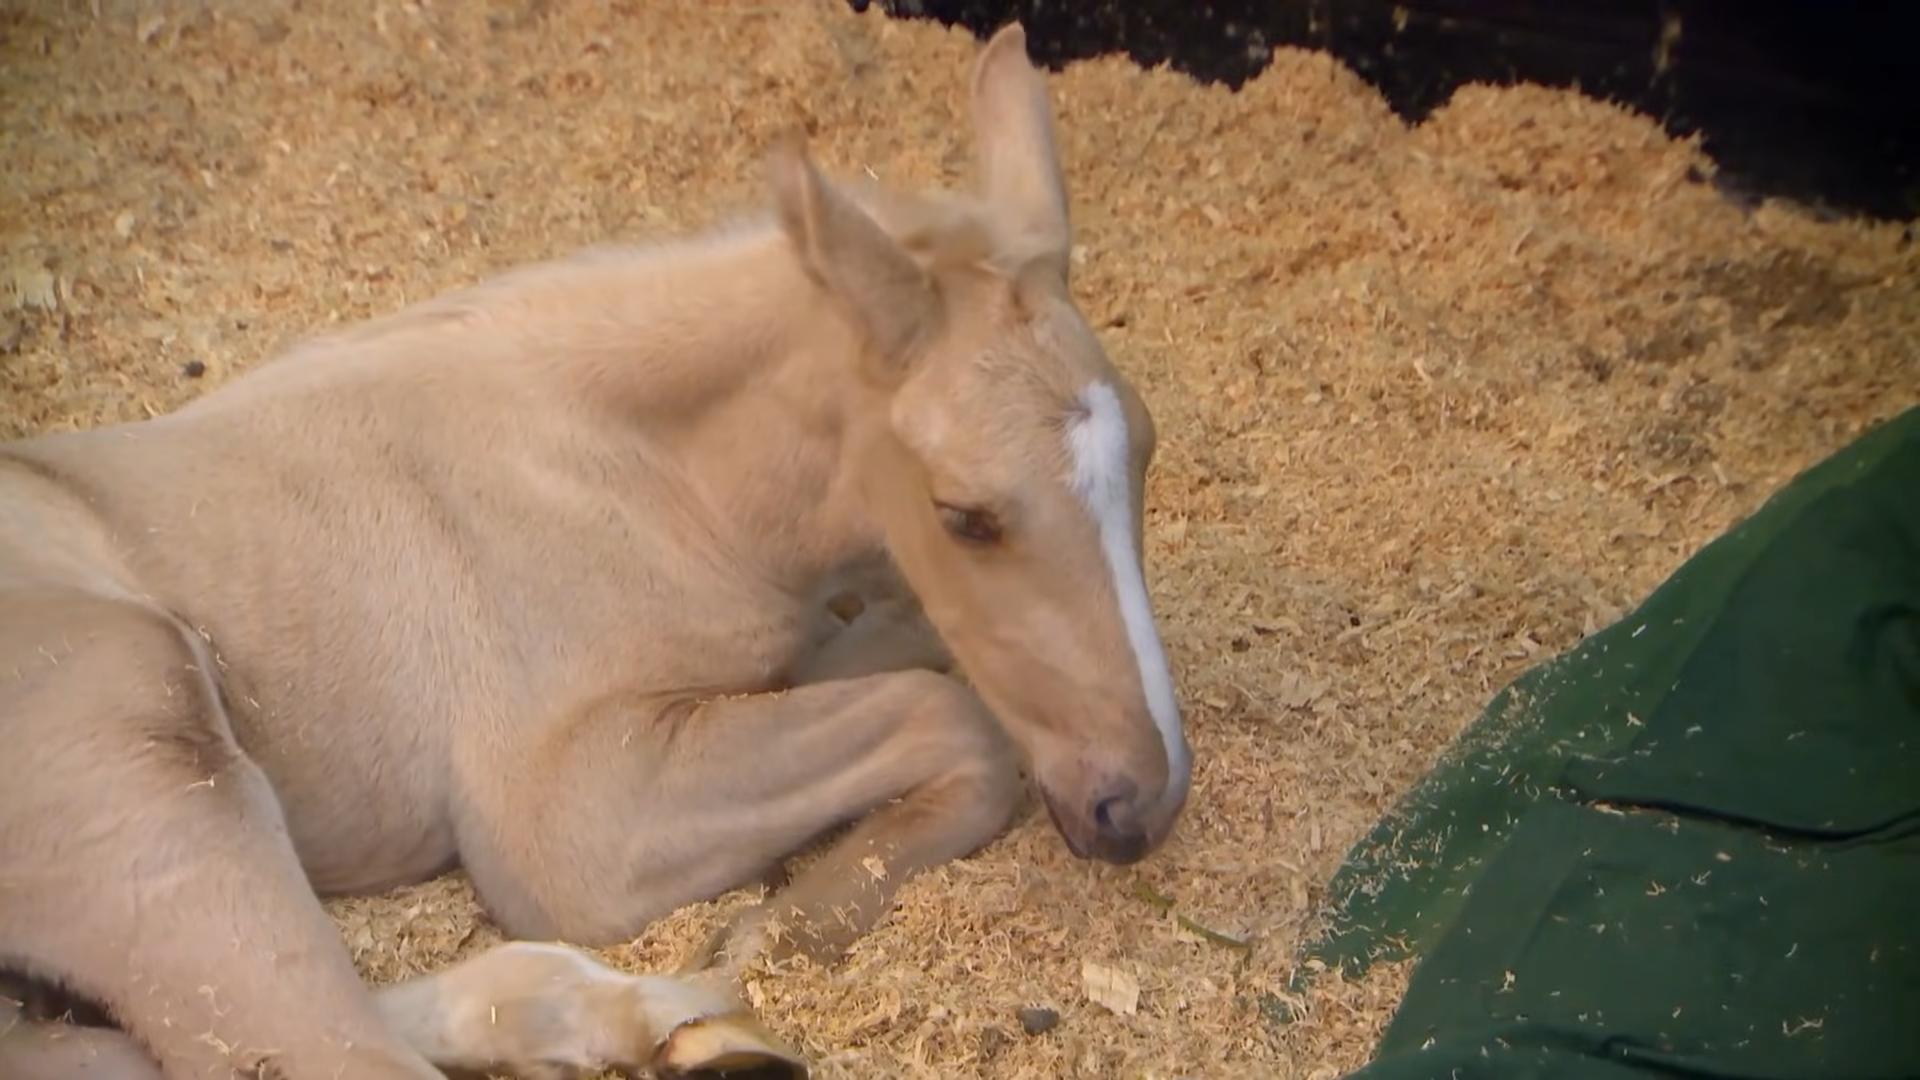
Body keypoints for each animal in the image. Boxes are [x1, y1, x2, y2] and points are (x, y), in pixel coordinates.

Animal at [0, 23, 1191, 1080]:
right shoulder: (568, 820)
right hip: (154, 762)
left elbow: (916, 653)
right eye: (966, 515)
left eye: (1147, 447)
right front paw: (776, 932)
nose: (1136, 806)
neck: (629, 473)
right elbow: (956, 720)